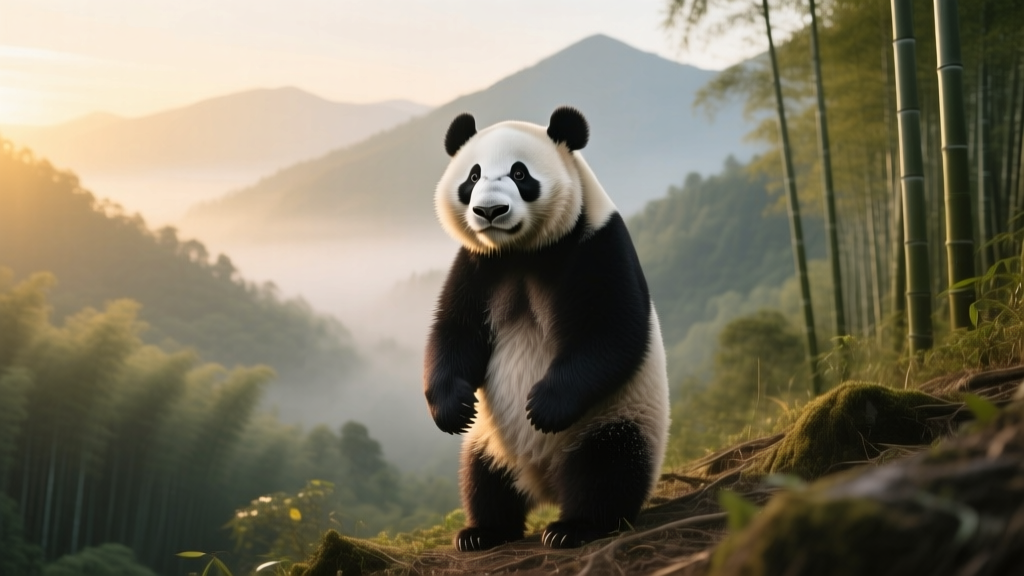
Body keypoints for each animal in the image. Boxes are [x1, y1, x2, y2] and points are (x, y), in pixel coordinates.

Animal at [424, 106, 669, 551]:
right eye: (473, 176)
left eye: (520, 173)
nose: (489, 211)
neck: (520, 252)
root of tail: (543, 483)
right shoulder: (478, 265)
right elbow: (454, 331)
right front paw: (453, 408)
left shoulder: (595, 244)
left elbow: (610, 331)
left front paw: (544, 406)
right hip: (490, 438)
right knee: (482, 477)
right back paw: (482, 532)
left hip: (615, 416)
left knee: (607, 467)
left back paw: (574, 527)